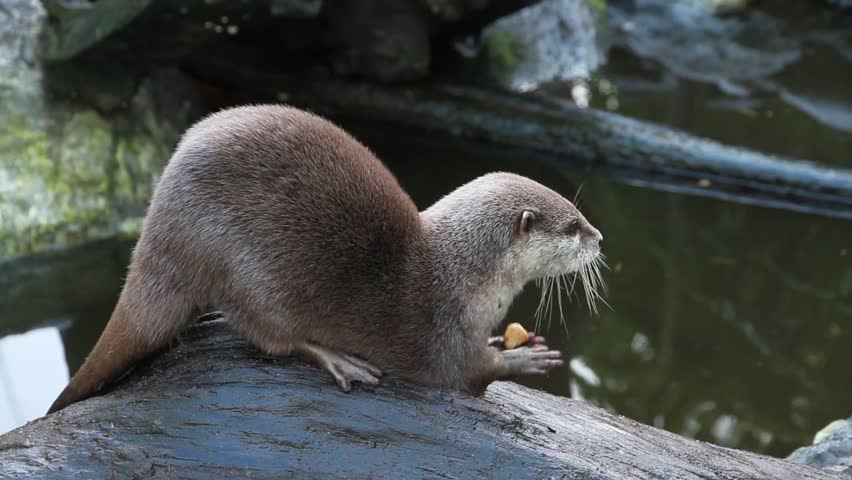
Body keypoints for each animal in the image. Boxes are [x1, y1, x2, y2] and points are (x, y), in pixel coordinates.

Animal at [48, 105, 604, 414]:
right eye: (572, 225)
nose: (599, 238)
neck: (462, 276)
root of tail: (158, 235)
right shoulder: (443, 330)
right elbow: (468, 375)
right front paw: (524, 359)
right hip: (239, 267)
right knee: (271, 336)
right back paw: (338, 359)